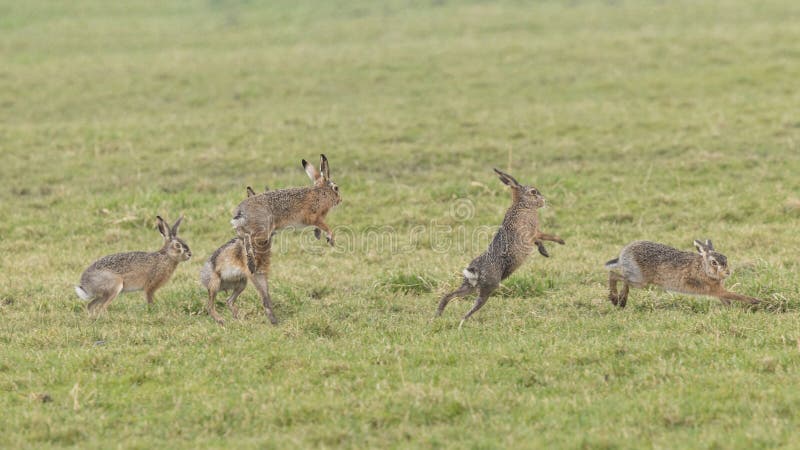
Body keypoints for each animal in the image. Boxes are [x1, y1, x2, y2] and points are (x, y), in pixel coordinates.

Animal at [230, 154, 340, 324]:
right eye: (336, 188)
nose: (340, 200)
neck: (320, 192)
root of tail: (240, 213)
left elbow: (319, 227)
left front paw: (318, 235)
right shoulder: (313, 216)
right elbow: (325, 226)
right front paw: (330, 238)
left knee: (243, 238)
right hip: (263, 230)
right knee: (249, 238)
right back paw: (252, 263)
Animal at [436, 168, 565, 327]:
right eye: (533, 192)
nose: (544, 201)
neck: (523, 205)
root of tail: (475, 270)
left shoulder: (533, 236)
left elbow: (539, 241)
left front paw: (545, 252)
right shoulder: (533, 232)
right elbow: (545, 236)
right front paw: (561, 241)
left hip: (470, 286)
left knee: (449, 296)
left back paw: (438, 316)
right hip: (488, 287)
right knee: (471, 308)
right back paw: (461, 323)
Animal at [604, 239, 761, 308]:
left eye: (726, 259)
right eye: (714, 262)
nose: (728, 272)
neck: (703, 269)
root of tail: (622, 255)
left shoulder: (716, 291)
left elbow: (726, 299)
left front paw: (731, 309)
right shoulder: (714, 289)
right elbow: (734, 295)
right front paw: (755, 301)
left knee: (622, 278)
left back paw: (620, 300)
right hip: (640, 280)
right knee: (614, 274)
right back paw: (616, 298)